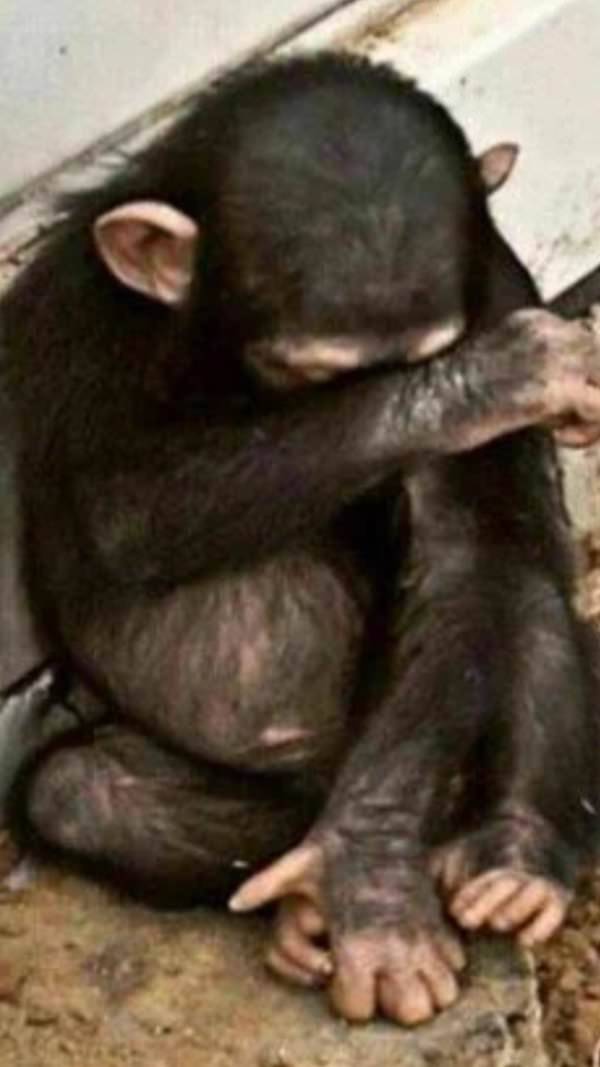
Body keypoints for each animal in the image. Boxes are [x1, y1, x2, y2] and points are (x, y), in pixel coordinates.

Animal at [2, 53, 600, 1027]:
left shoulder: (499, 281)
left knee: (525, 597)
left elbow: (459, 551)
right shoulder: (78, 315)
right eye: (314, 376)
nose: (416, 384)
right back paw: (295, 916)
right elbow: (121, 505)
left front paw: (369, 864)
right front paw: (491, 382)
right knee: (79, 795)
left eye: (418, 361)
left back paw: (517, 859)